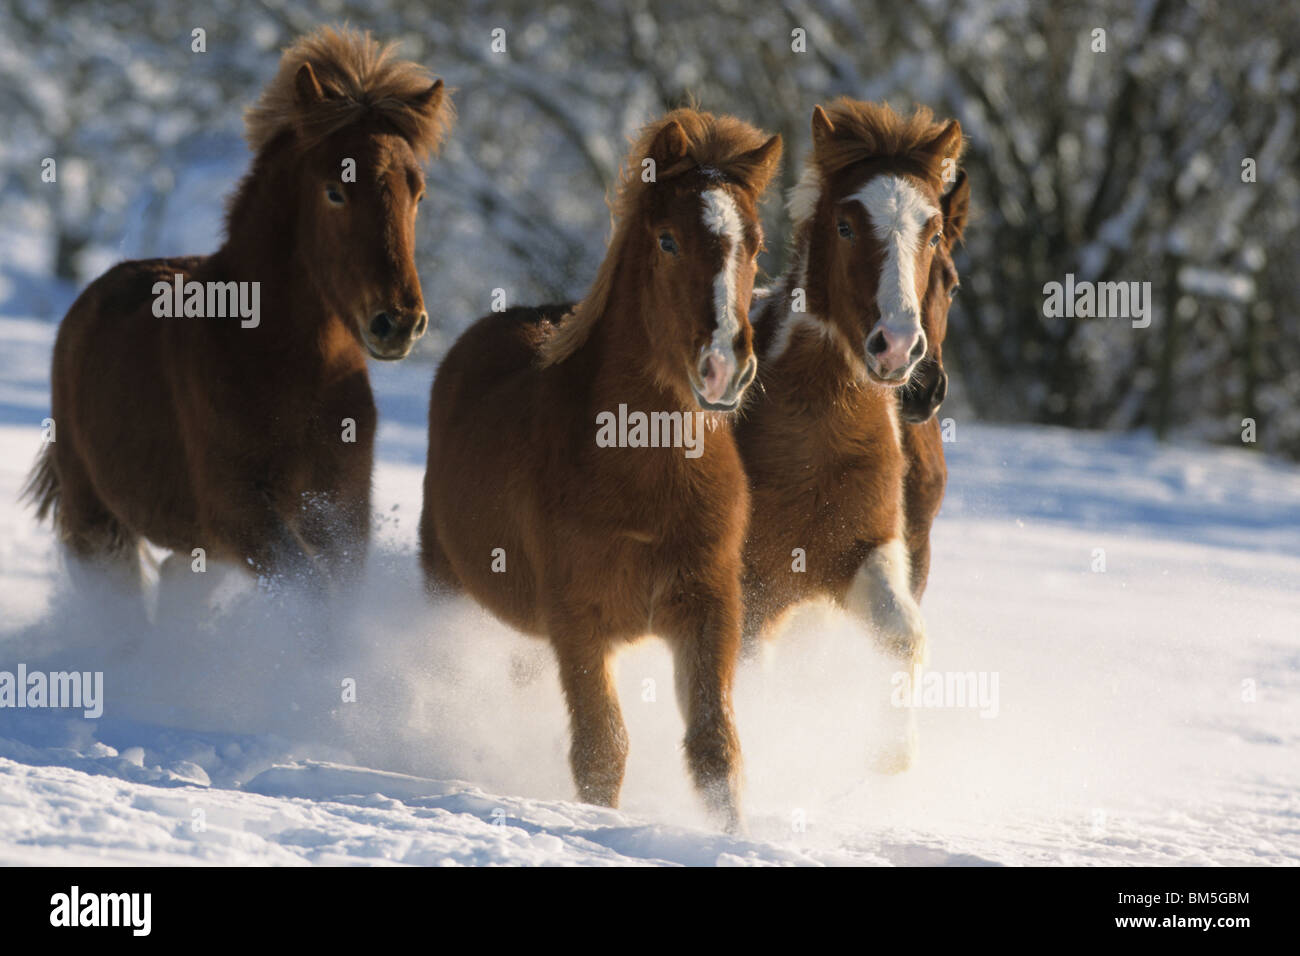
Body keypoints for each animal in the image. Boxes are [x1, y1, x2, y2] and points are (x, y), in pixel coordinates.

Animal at [24, 26, 453, 598]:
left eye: (418, 194)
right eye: (335, 191)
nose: (399, 322)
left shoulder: (343, 510)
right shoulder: (240, 512)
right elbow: (313, 593)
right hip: (96, 522)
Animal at [419, 110, 781, 830]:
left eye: (754, 243)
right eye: (668, 240)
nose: (725, 365)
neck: (642, 474)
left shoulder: (708, 606)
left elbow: (715, 749)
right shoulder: (576, 618)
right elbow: (600, 749)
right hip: (449, 588)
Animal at [735, 100, 967, 770]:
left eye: (933, 233)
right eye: (844, 225)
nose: (897, 348)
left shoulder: (865, 551)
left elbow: (905, 636)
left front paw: (888, 758)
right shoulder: (752, 588)